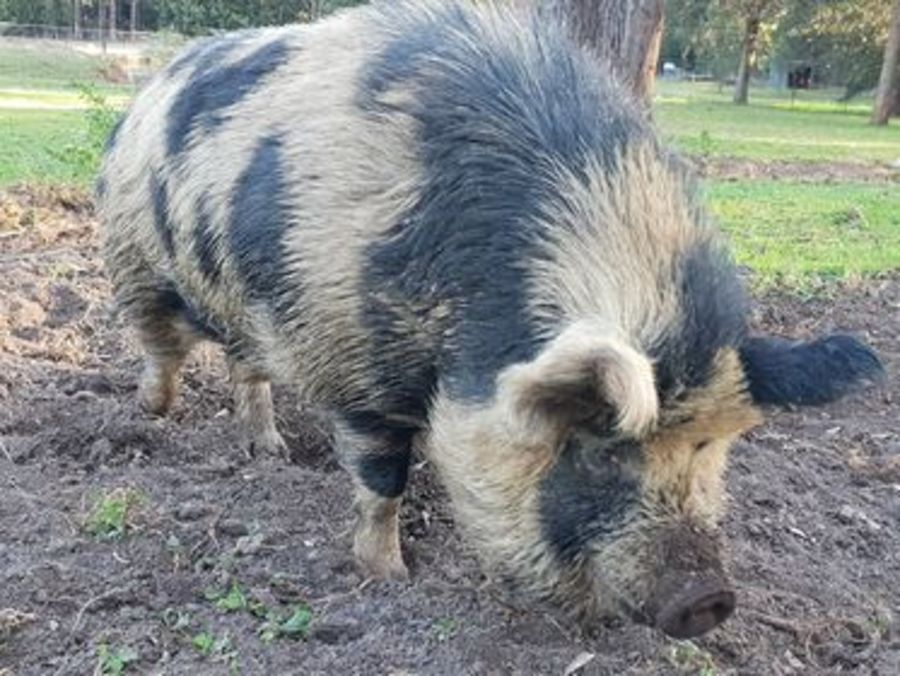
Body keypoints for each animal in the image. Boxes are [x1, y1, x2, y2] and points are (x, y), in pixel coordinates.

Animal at [98, 0, 884, 638]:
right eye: (602, 451)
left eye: (705, 449)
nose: (709, 598)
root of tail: (152, 87)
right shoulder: (355, 362)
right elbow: (380, 477)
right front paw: (390, 576)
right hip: (132, 255)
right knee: (162, 344)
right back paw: (151, 414)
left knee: (246, 365)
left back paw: (271, 451)